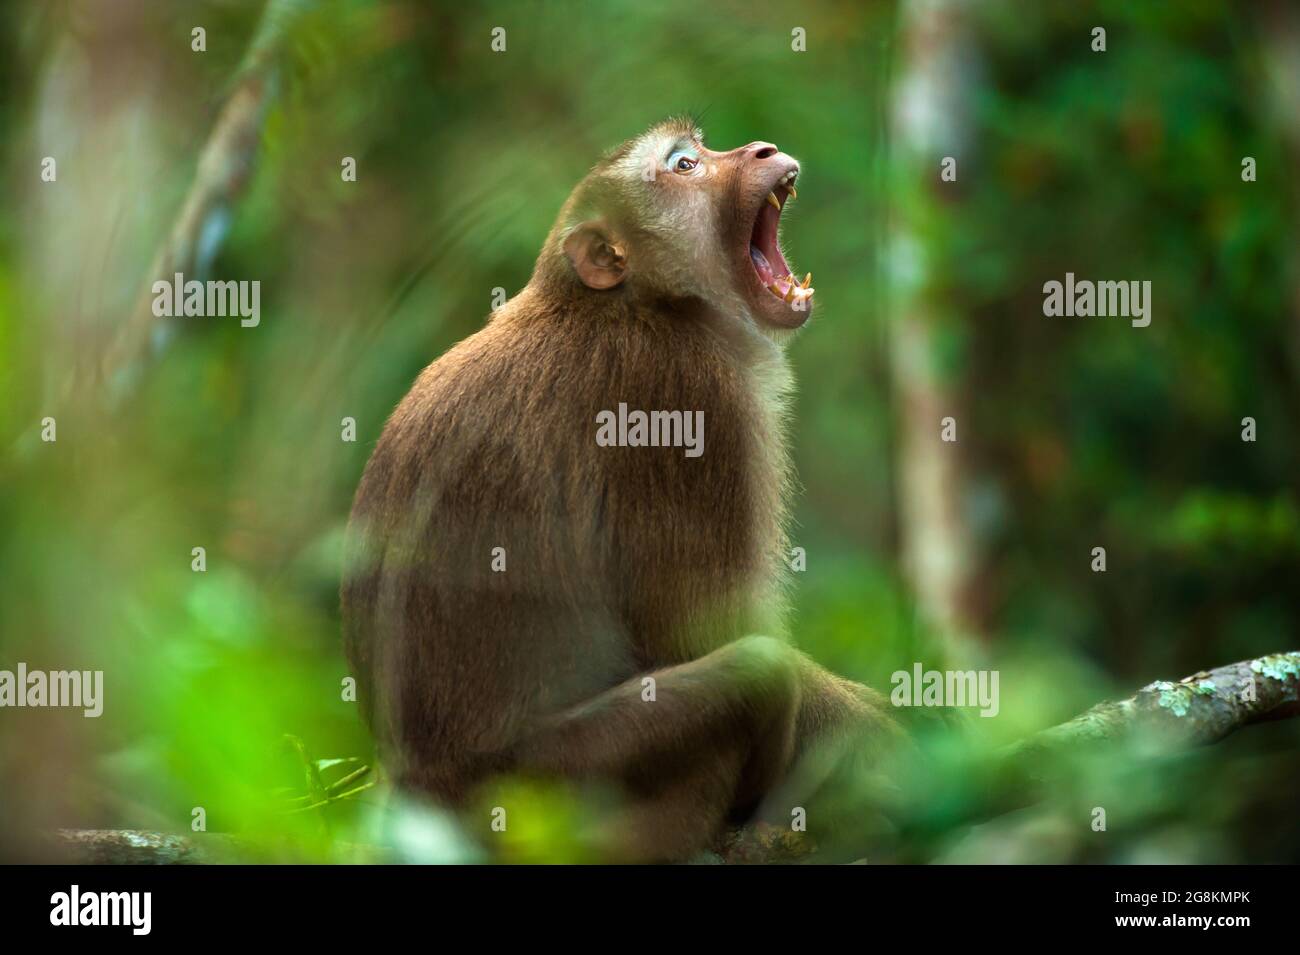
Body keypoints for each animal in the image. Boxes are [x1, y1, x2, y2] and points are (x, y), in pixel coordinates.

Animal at [341, 118, 900, 862]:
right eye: (686, 165)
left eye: (702, 147)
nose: (758, 150)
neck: (633, 303)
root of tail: (422, 794)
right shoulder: (685, 396)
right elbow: (703, 630)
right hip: (557, 781)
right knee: (758, 673)